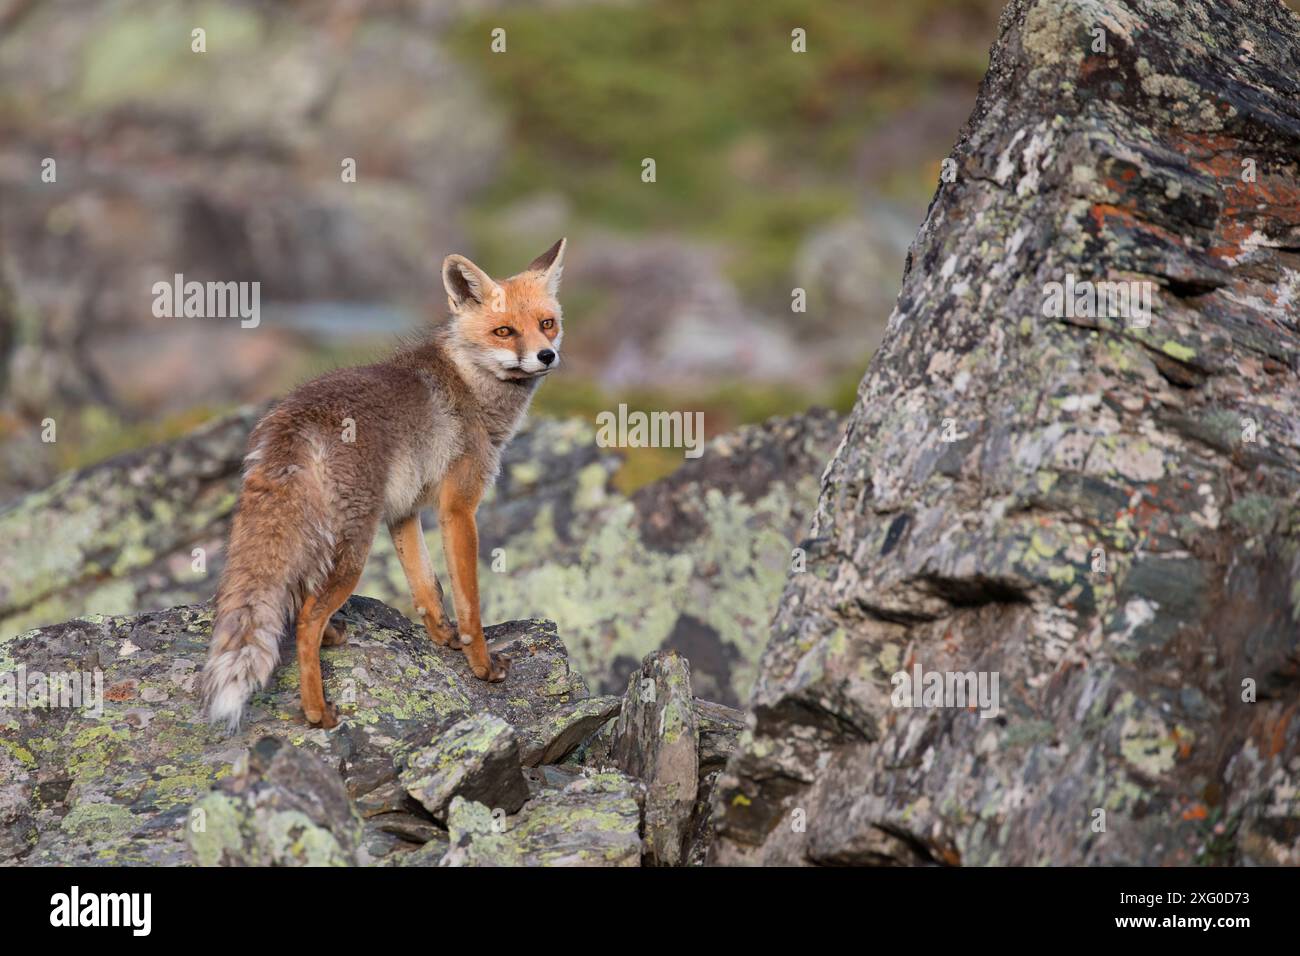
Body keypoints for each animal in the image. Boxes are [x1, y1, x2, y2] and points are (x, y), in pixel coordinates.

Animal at [200, 239, 568, 731]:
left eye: (547, 324)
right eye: (504, 331)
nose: (546, 356)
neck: (471, 386)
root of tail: (291, 419)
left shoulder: (405, 511)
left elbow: (427, 588)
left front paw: (442, 637)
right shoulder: (458, 508)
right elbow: (469, 601)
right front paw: (481, 665)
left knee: (295, 601)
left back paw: (332, 641)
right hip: (353, 546)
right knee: (307, 618)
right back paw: (316, 710)